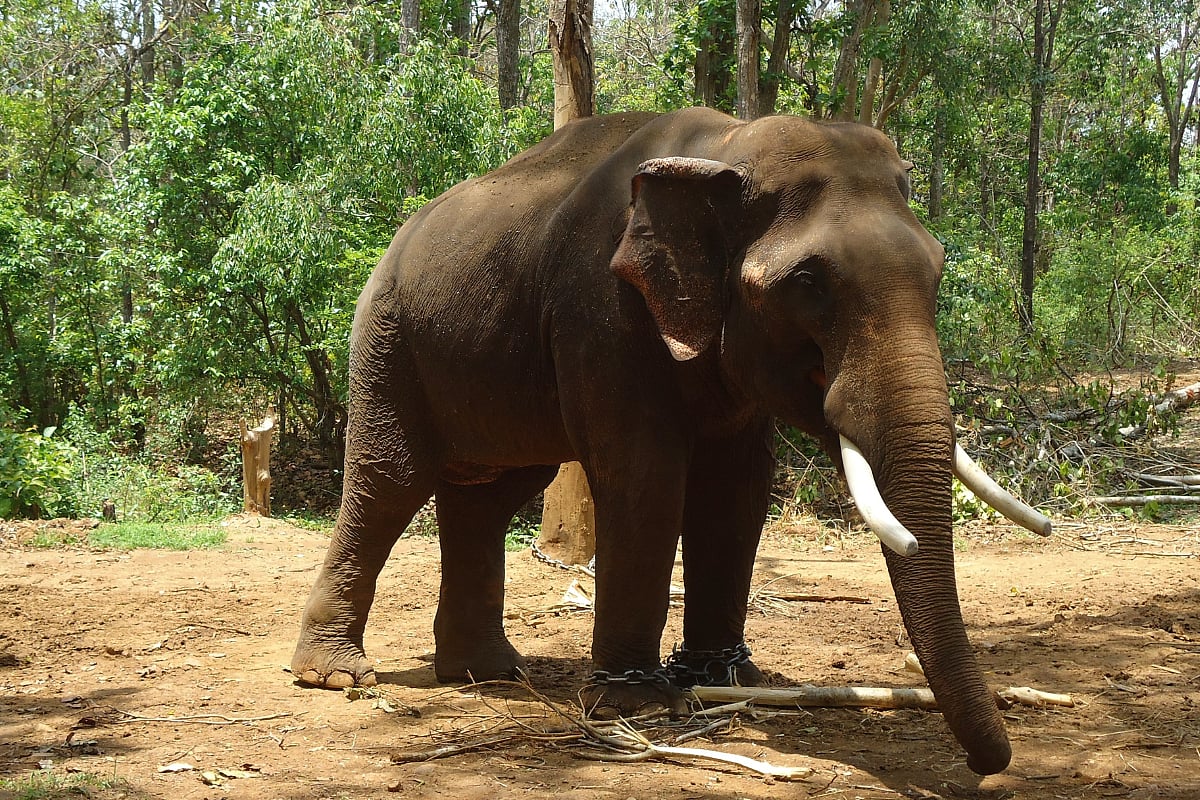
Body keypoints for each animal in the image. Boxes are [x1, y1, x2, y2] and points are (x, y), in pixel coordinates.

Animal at [291, 106, 1051, 776]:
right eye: (809, 282)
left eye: (937, 267)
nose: (988, 764)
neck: (724, 148)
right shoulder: (602, 308)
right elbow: (646, 475)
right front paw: (635, 705)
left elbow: (736, 487)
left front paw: (727, 678)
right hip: (388, 340)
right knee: (389, 482)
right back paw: (337, 677)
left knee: (490, 496)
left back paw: (488, 672)